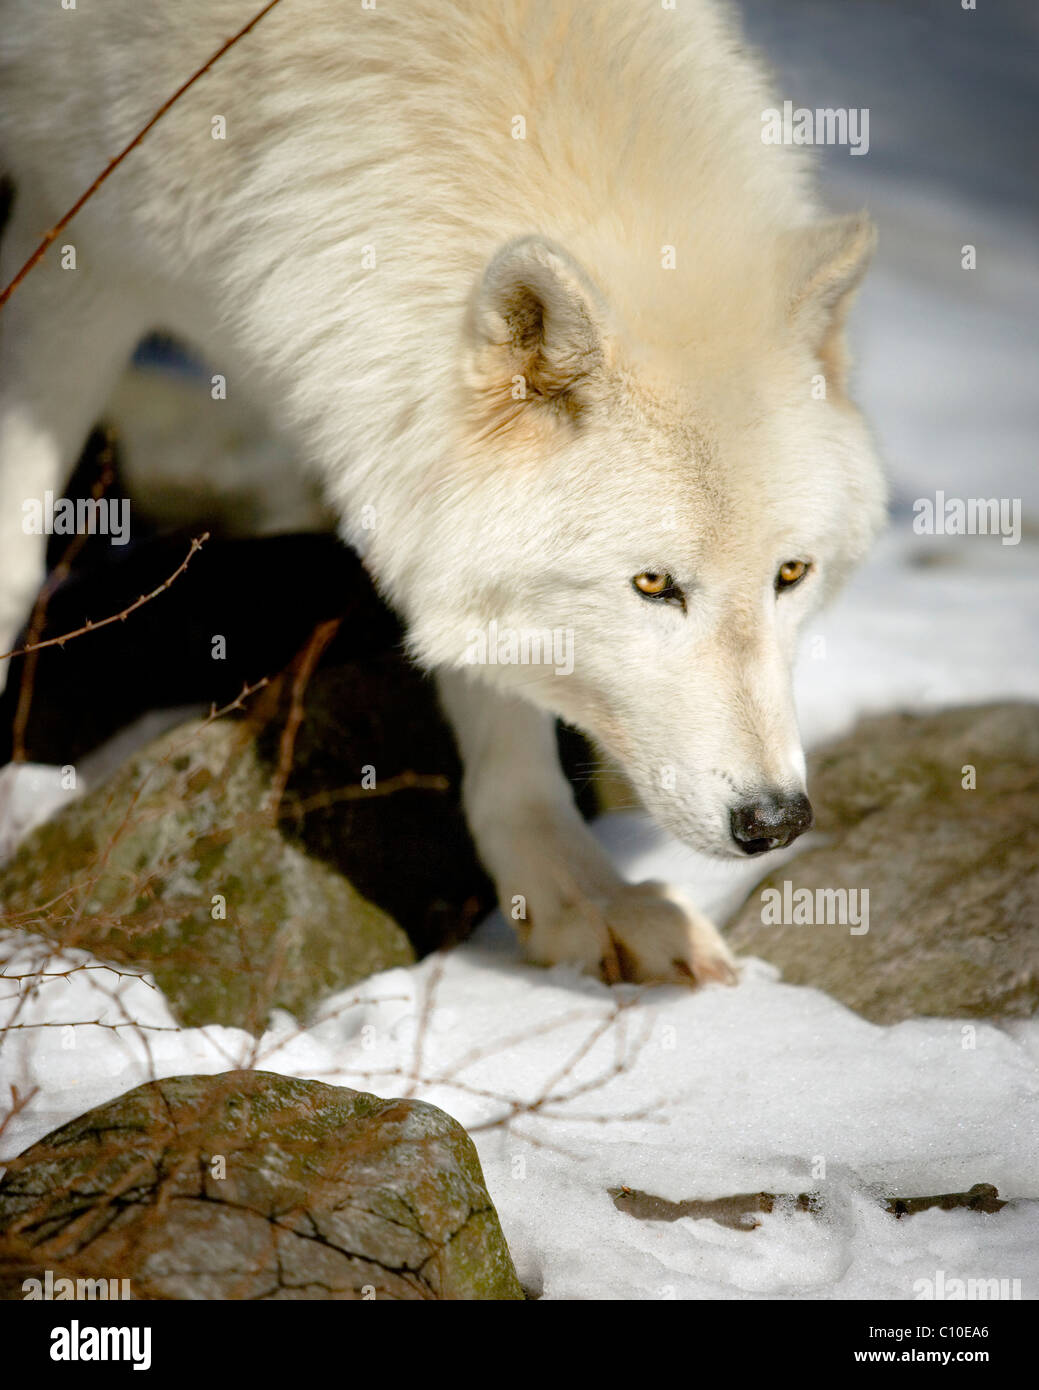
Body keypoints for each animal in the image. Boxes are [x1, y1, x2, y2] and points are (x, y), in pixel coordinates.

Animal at [0, 0, 886, 983]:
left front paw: (576, 891)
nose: (775, 821)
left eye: (790, 575)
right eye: (654, 585)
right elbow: (8, 553)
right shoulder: (77, 248)